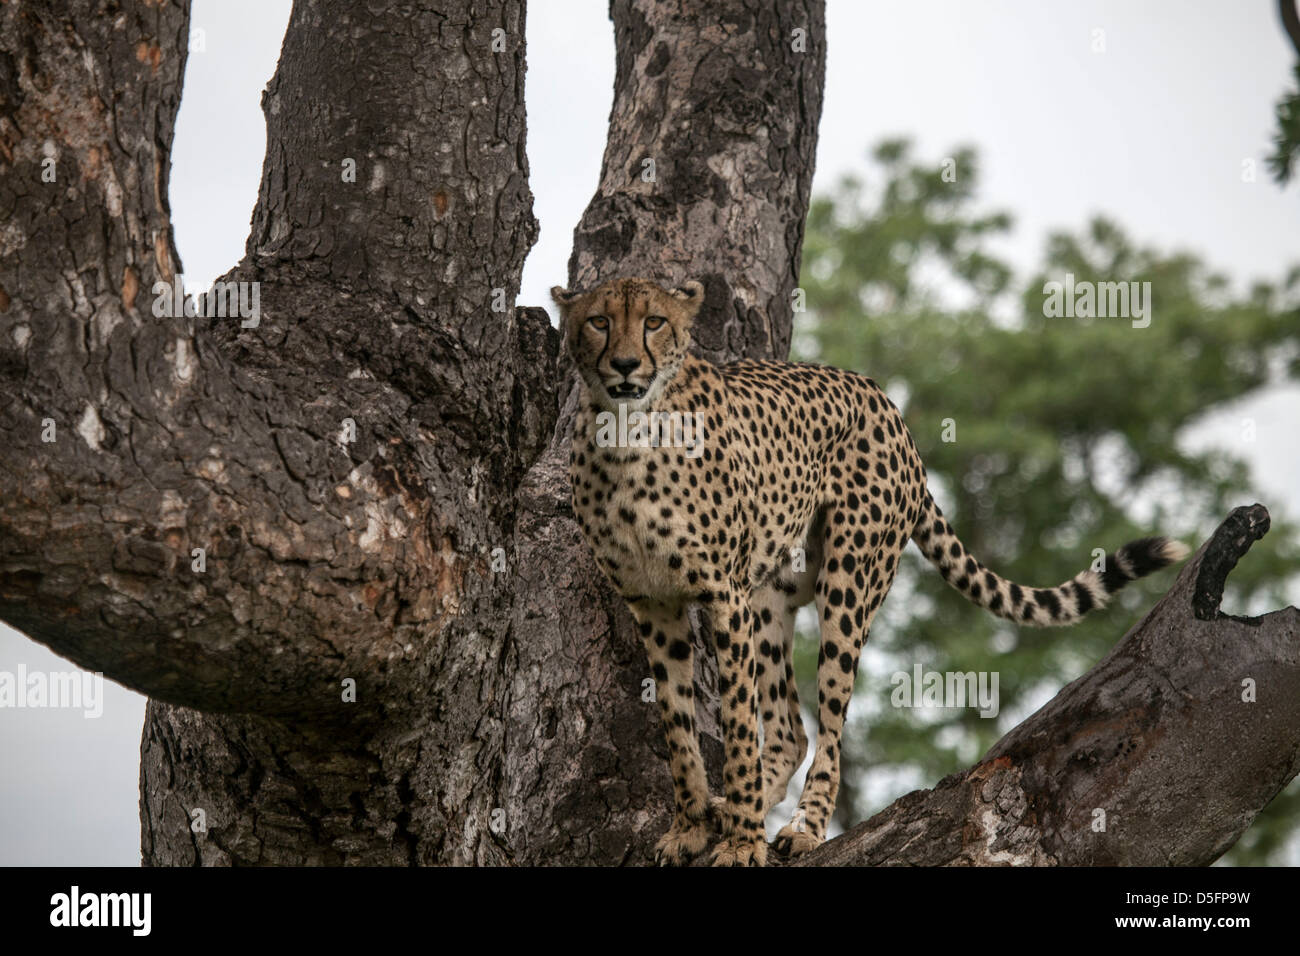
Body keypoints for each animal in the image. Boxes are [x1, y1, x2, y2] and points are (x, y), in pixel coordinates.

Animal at [551, 276, 1188, 867]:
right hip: (769, 594)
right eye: (599, 322)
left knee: (829, 723)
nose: (626, 364)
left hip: (846, 582)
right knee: (790, 728)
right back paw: (736, 807)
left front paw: (741, 844)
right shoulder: (653, 602)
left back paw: (800, 827)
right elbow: (679, 726)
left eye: (654, 321)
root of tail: (883, 399)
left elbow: (734, 724)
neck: (628, 434)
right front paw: (688, 828)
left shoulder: (723, 594)